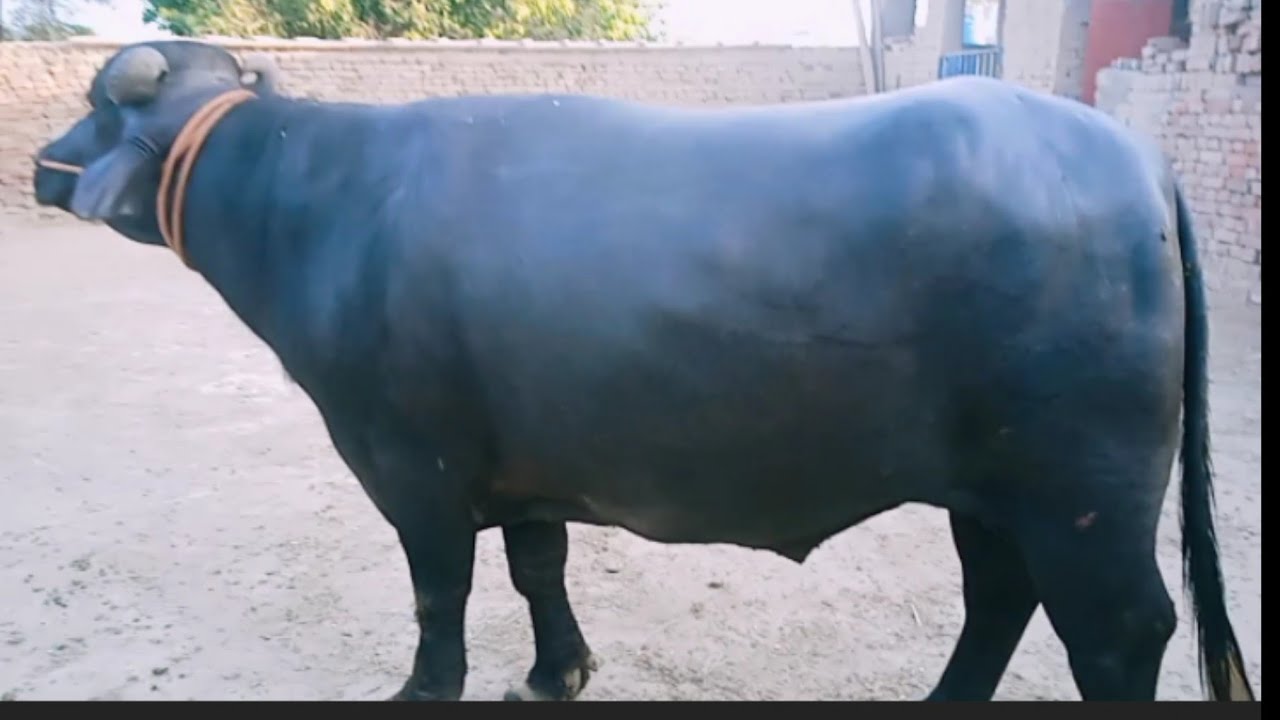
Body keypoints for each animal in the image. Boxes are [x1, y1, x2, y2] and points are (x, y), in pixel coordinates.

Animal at [32, 40, 1256, 701]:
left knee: (1116, 631)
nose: (43, 167)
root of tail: (1137, 162)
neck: (316, 202)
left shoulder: (411, 467)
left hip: (1083, 492)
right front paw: (556, 669)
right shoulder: (522, 468)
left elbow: (439, 593)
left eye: (97, 105)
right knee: (999, 596)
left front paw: (424, 686)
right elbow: (538, 567)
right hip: (992, 492)